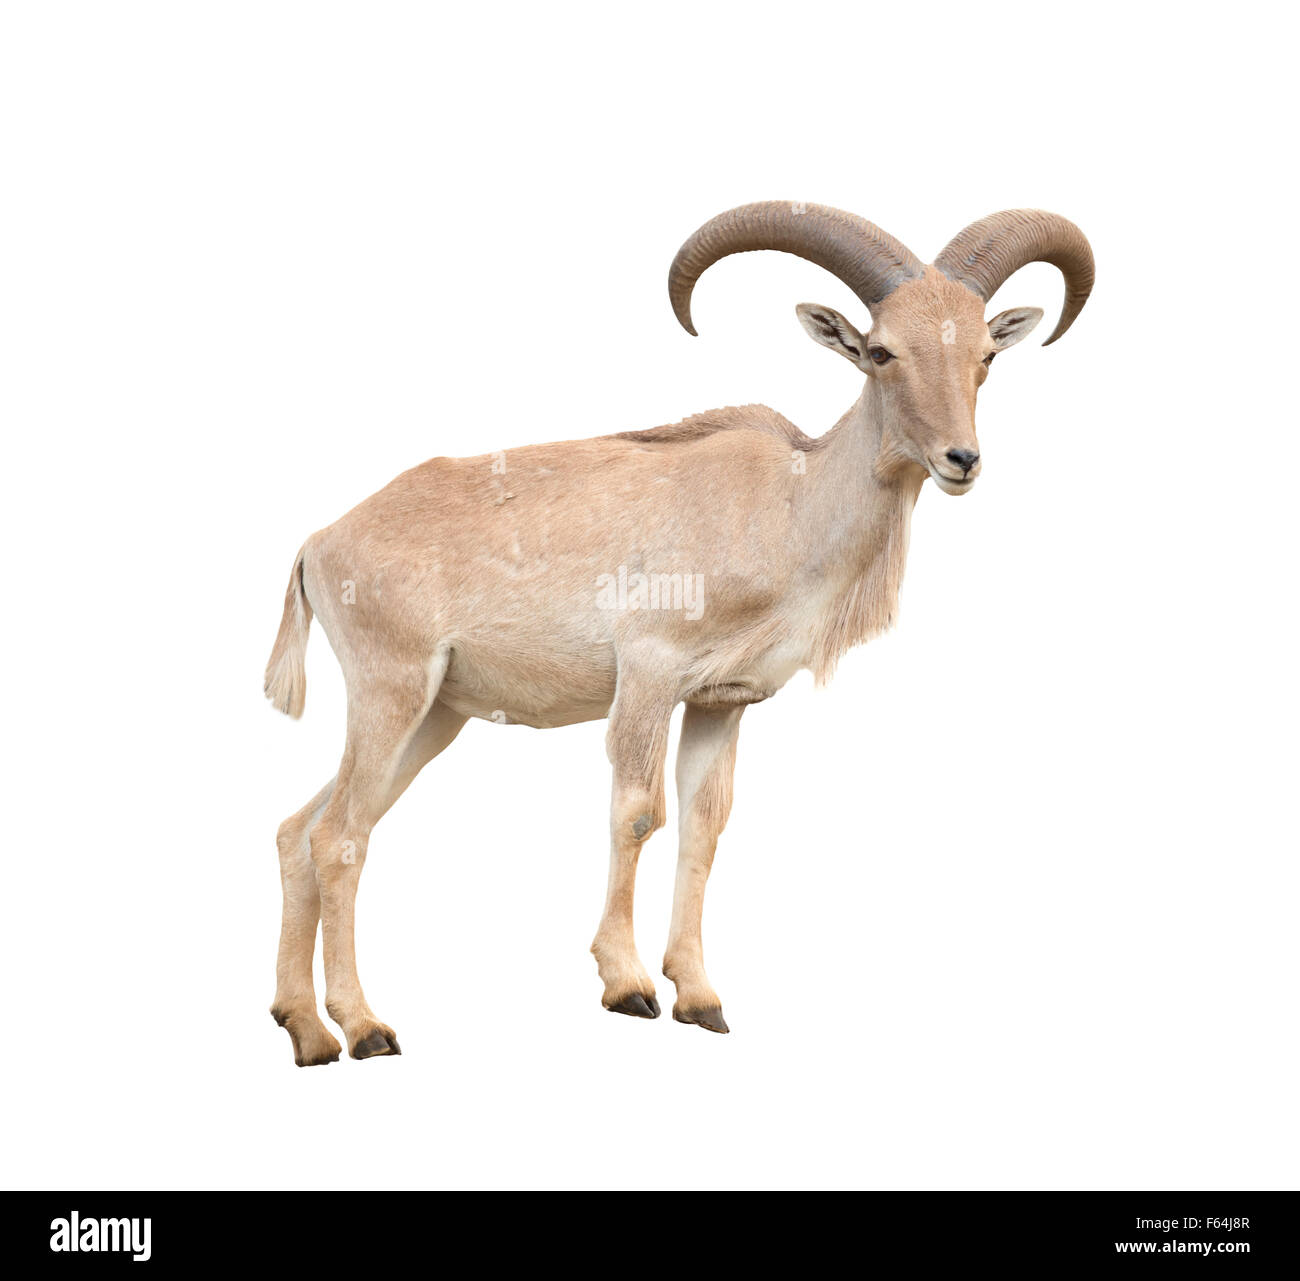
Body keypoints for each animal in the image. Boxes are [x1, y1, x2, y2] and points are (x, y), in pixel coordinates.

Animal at [265, 202, 1094, 1065]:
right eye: (880, 351)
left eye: (985, 354)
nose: (961, 458)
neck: (787, 509)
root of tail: (318, 543)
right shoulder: (648, 674)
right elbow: (638, 810)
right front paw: (628, 984)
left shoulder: (721, 700)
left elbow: (704, 825)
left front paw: (700, 997)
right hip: (390, 687)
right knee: (340, 838)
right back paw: (365, 1027)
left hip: (436, 715)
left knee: (302, 830)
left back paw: (305, 1029)